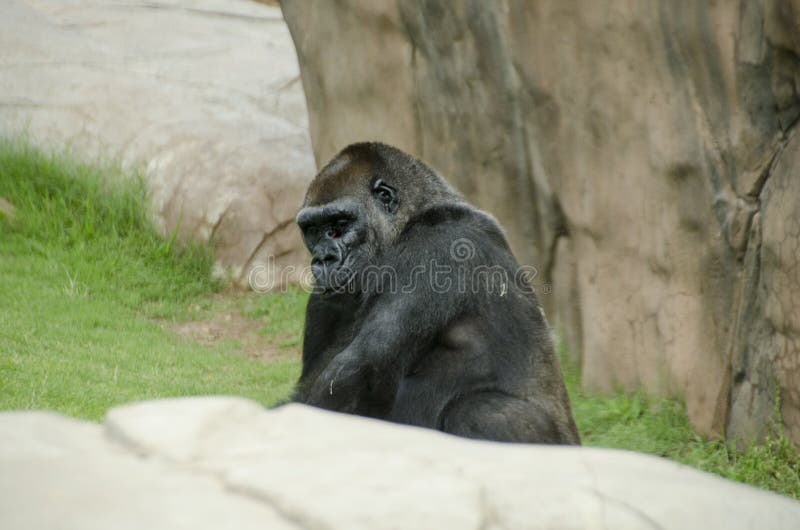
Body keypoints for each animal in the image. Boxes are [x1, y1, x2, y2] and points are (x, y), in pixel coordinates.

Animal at [290, 142, 580, 444]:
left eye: (339, 226)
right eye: (313, 230)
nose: (323, 260)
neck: (416, 214)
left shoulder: (438, 245)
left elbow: (356, 368)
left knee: (481, 413)